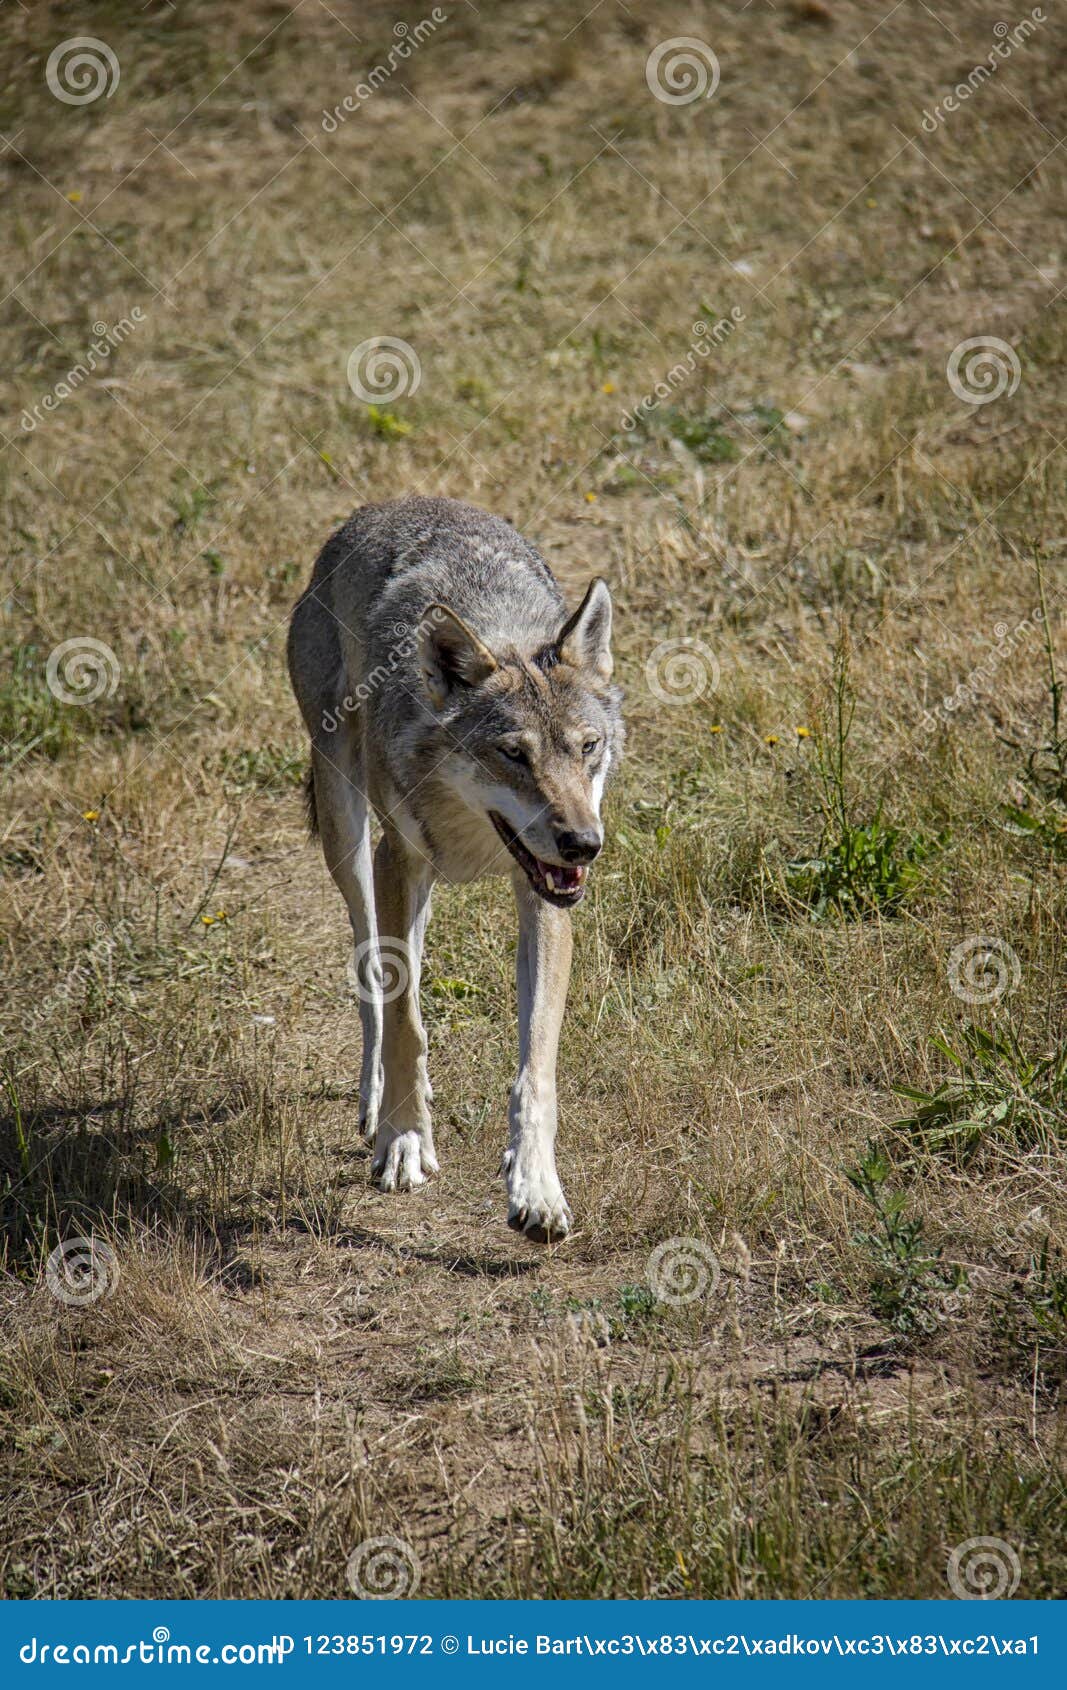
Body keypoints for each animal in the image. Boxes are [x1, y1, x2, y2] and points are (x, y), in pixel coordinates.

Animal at [287, 496, 623, 1241]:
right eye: (513, 754)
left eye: (587, 748)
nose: (584, 844)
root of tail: (384, 506)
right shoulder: (398, 857)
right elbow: (407, 1023)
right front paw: (404, 1142)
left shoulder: (542, 897)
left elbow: (535, 1066)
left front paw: (536, 1187)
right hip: (351, 840)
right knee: (373, 976)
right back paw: (374, 1101)